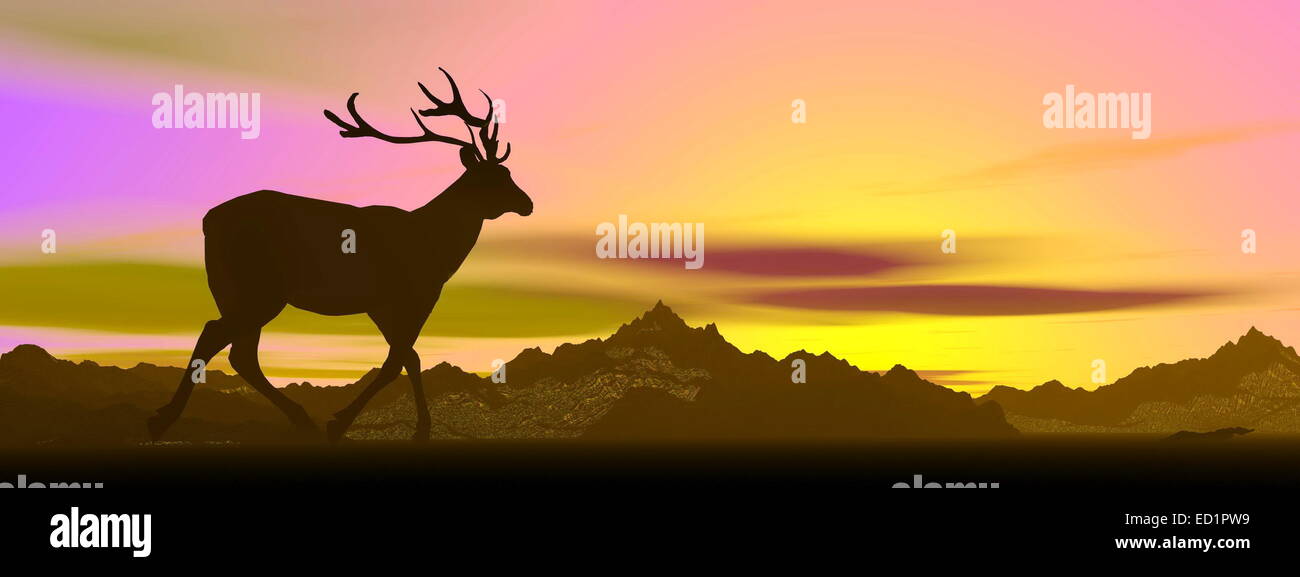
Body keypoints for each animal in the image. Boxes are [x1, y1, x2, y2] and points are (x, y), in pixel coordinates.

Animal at [147, 68, 531, 444]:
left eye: (506, 171)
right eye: (491, 178)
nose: (527, 203)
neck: (437, 249)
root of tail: (208, 221)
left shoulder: (384, 304)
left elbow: (409, 358)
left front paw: (416, 425)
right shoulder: (411, 294)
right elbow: (397, 361)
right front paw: (345, 421)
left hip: (238, 291)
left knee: (241, 354)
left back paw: (299, 419)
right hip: (257, 288)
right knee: (216, 335)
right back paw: (163, 419)